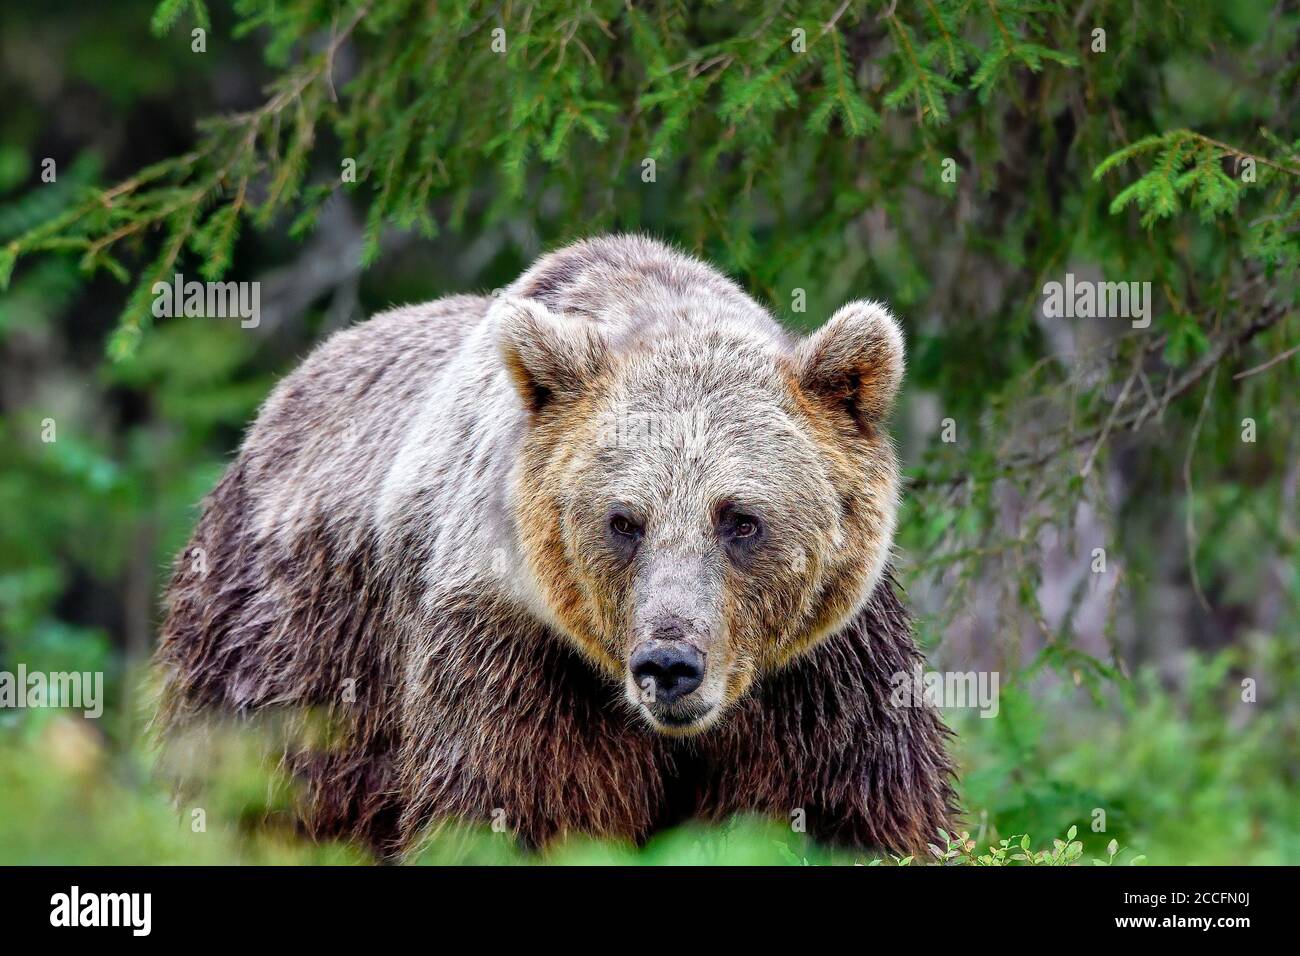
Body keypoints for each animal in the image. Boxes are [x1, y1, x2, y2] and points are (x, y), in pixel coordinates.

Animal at [155, 234, 957, 858]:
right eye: (624, 520)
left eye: (740, 519)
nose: (670, 664)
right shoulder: (515, 650)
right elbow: (510, 807)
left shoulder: (822, 668)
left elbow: (842, 804)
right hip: (284, 655)